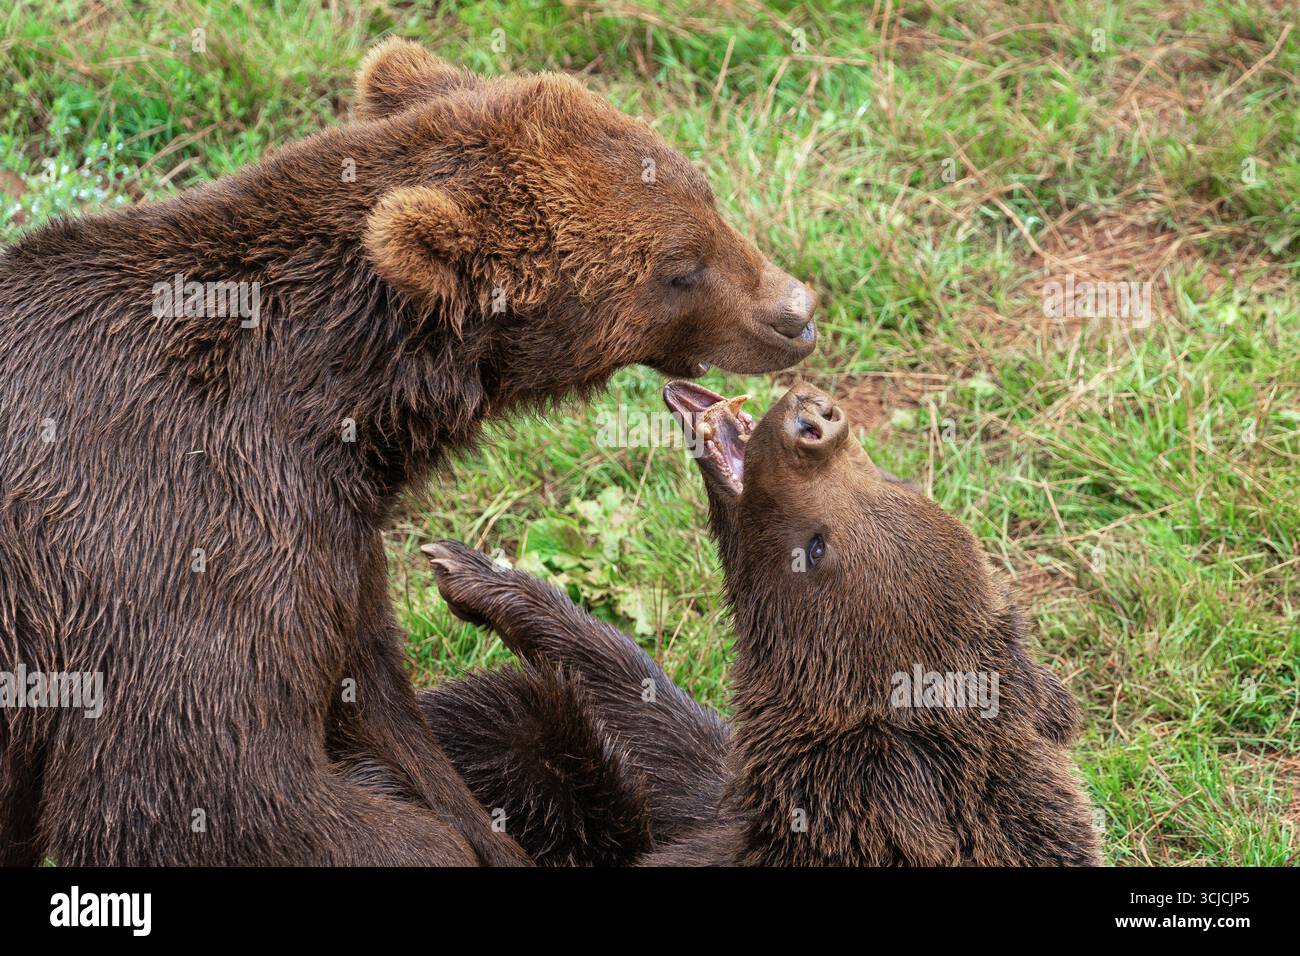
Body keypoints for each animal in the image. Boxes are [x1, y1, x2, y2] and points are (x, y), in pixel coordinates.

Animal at [0, 38, 816, 866]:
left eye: (706, 195)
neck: (336, 407)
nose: (796, 312)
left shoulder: (336, 547)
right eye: (678, 268)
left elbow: (390, 719)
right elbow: (211, 785)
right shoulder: (179, 537)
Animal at [417, 381, 1101, 866]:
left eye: (818, 547)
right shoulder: (707, 794)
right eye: (898, 479)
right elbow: (648, 718)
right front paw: (474, 571)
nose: (816, 420)